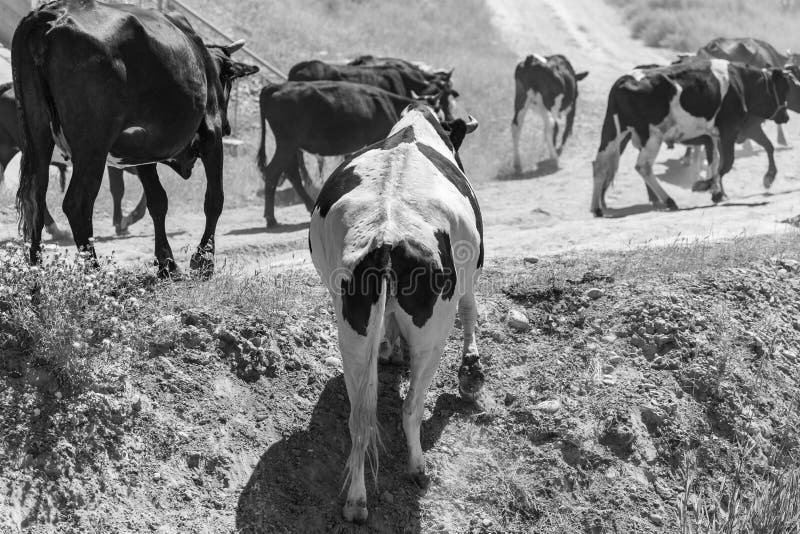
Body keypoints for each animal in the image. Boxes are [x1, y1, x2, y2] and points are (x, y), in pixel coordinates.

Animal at [12, 0, 258, 275]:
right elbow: (214, 199)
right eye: (227, 78)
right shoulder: (211, 136)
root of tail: (52, 14)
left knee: (36, 197)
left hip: (37, 135)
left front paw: (167, 264)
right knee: (77, 204)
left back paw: (36, 273)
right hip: (92, 146)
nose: (227, 126)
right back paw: (95, 273)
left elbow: (158, 202)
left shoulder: (142, 152)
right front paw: (204, 261)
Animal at [257, 81, 448, 227]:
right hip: (287, 143)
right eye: (440, 110)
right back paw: (271, 219)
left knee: (290, 172)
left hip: (290, 145)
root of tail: (275, 86)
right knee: (274, 171)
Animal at [308, 103, 482, 523]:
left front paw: (390, 350)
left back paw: (356, 501)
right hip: (433, 335)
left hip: (351, 330)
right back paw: (417, 467)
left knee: (360, 418)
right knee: (411, 407)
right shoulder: (470, 274)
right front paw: (471, 372)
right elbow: (471, 309)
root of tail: (387, 232)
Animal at [591, 58, 790, 216]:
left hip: (612, 131)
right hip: (651, 135)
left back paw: (596, 208)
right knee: (643, 166)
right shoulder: (729, 130)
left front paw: (716, 191)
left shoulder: (715, 135)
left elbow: (716, 161)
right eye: (783, 90)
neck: (739, 83)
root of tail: (625, 79)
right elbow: (726, 163)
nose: (786, 116)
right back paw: (668, 200)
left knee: (599, 164)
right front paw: (705, 186)